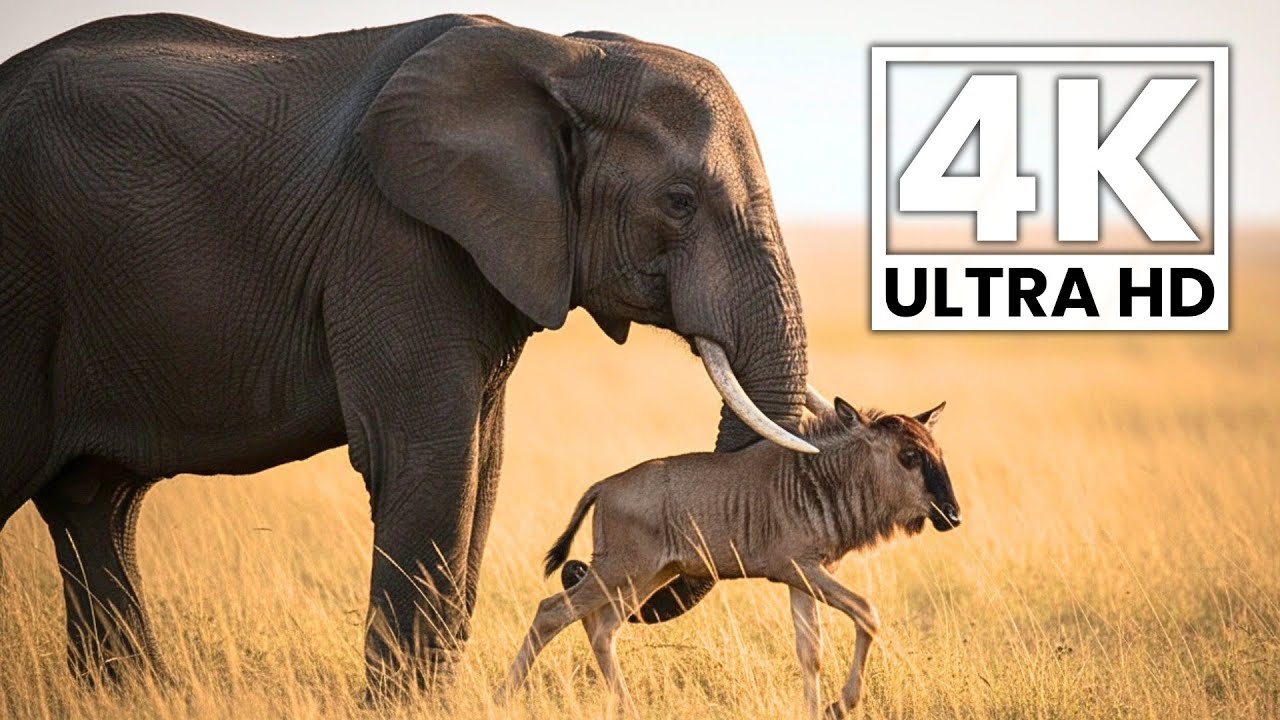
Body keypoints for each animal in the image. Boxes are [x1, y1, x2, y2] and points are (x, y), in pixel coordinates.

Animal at [0, 13, 815, 691]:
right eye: (679, 202)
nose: (577, 566)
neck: (559, 54)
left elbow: (484, 466)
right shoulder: (392, 241)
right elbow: (430, 458)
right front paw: (408, 703)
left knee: (98, 505)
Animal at [496, 393, 961, 718]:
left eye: (939, 453)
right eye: (909, 456)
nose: (952, 515)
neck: (819, 479)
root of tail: (603, 486)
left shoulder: (803, 578)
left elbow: (810, 651)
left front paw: (816, 709)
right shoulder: (797, 568)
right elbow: (867, 612)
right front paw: (838, 705)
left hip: (643, 579)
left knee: (602, 630)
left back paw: (627, 708)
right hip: (618, 572)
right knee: (552, 611)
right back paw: (503, 696)